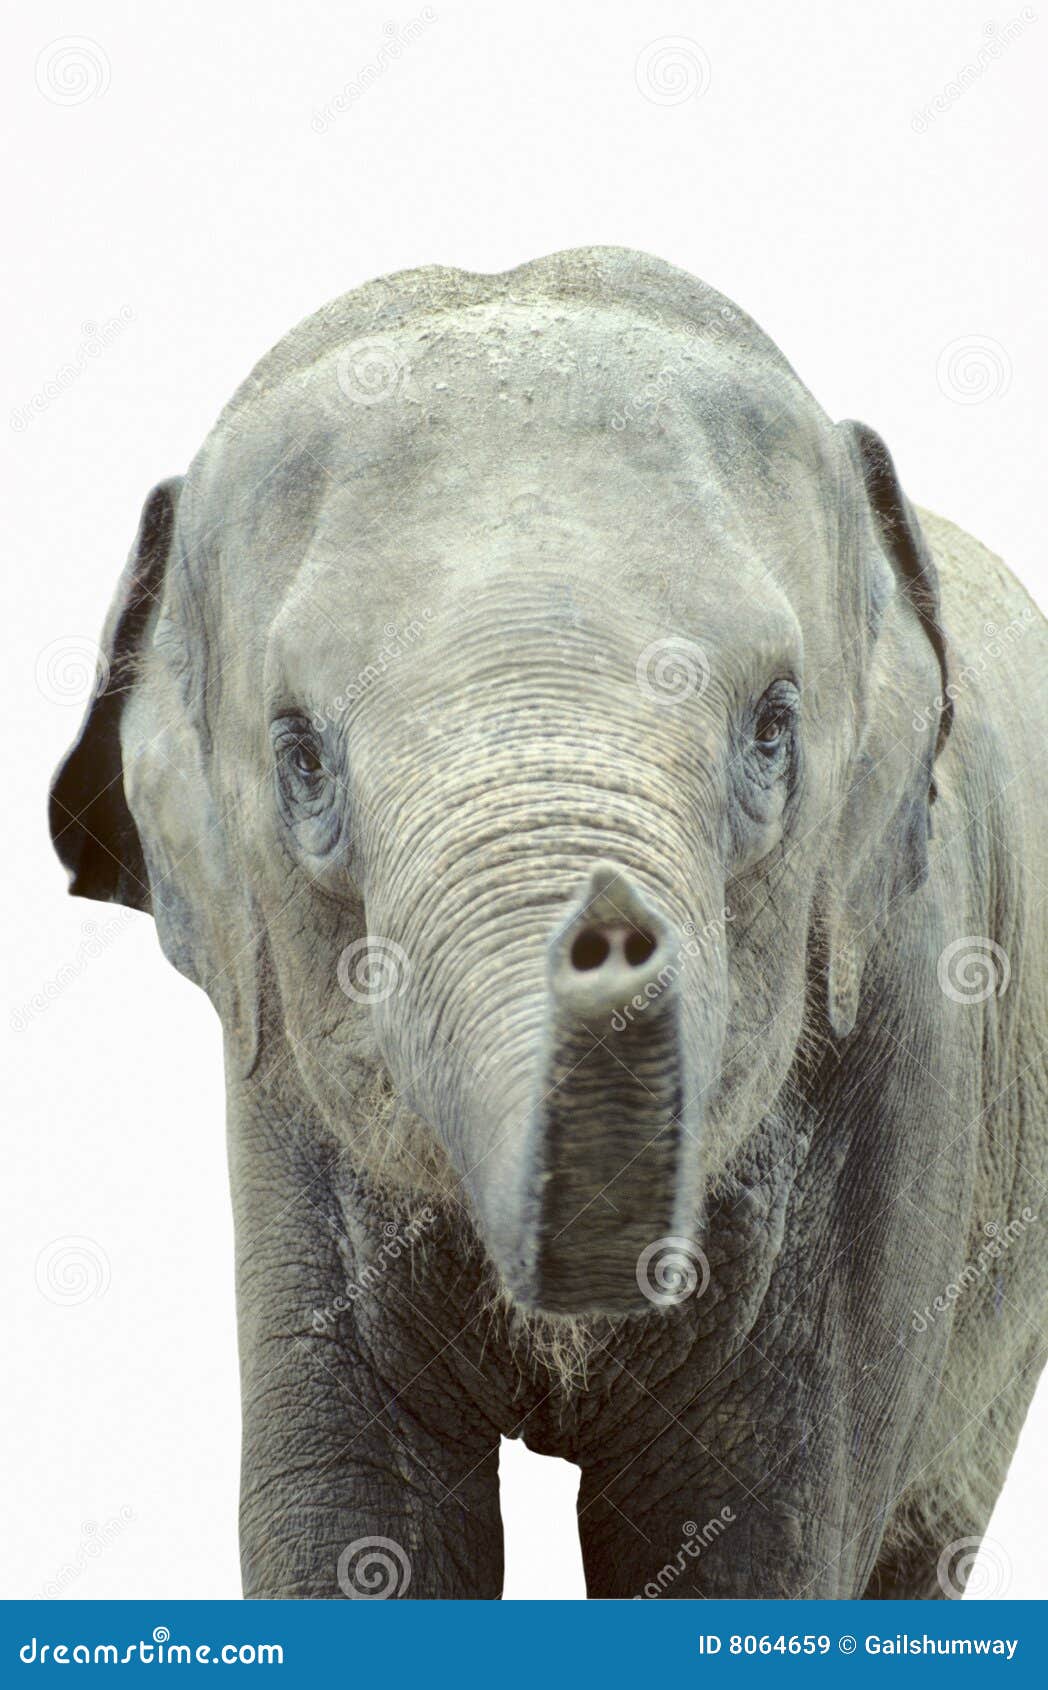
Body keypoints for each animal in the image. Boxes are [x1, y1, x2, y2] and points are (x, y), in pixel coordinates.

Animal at [50, 248, 1047, 1601]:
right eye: (301, 756)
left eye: (773, 727)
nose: (607, 926)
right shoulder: (279, 1102)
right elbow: (349, 1514)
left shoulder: (906, 1033)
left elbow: (752, 1534)